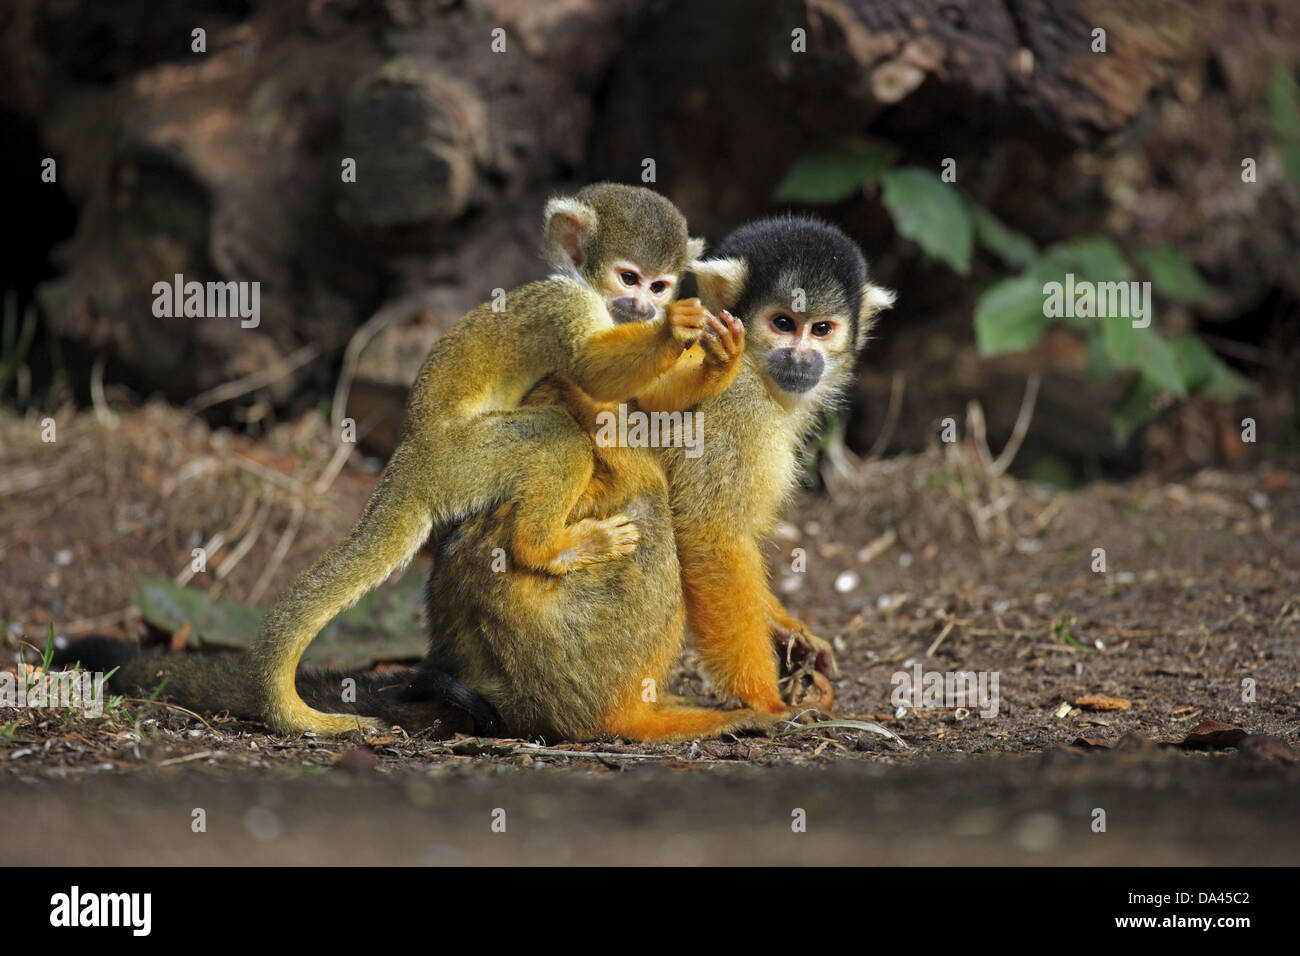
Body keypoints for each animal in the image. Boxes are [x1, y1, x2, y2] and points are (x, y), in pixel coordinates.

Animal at [640, 215, 895, 717]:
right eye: (782, 323)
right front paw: (763, 700)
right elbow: (712, 539)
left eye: (821, 329)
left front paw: (788, 632)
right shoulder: (733, 409)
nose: (800, 356)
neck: (754, 371)